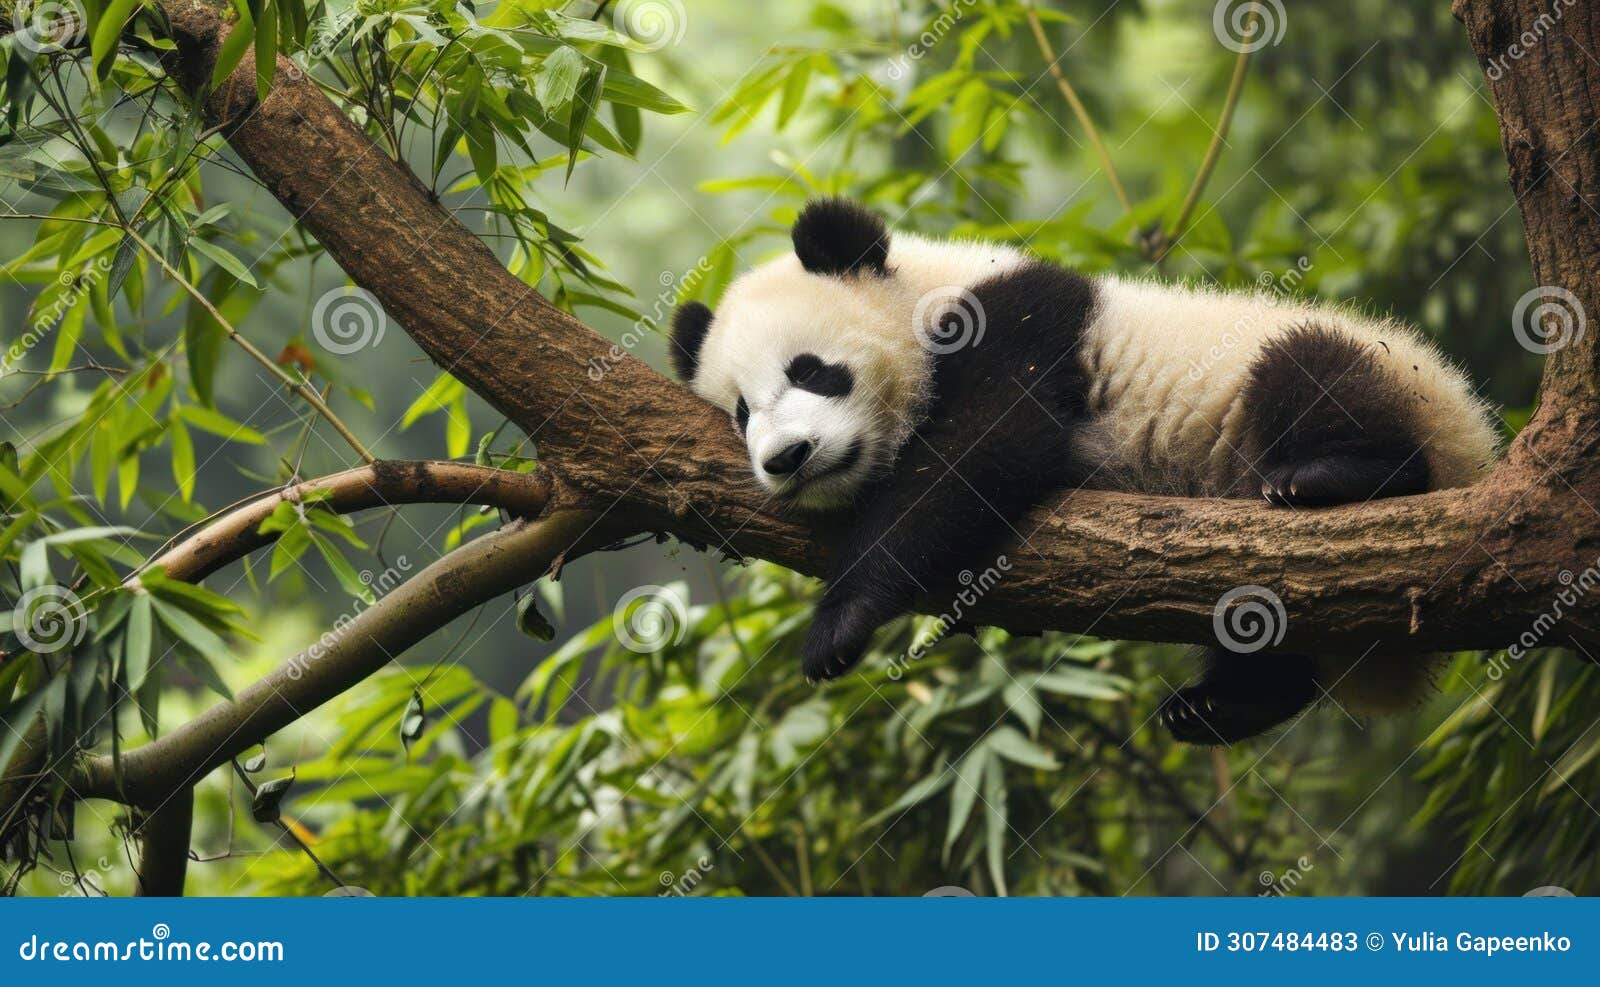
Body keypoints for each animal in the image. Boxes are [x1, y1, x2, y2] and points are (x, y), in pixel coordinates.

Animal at [669, 198, 1501, 745]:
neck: (926, 289)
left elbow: (986, 449)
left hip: (1389, 383)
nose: (786, 458)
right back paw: (1215, 708)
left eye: (812, 370)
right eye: (740, 412)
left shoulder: (1016, 320)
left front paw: (839, 621)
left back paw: (1328, 477)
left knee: (1308, 372)